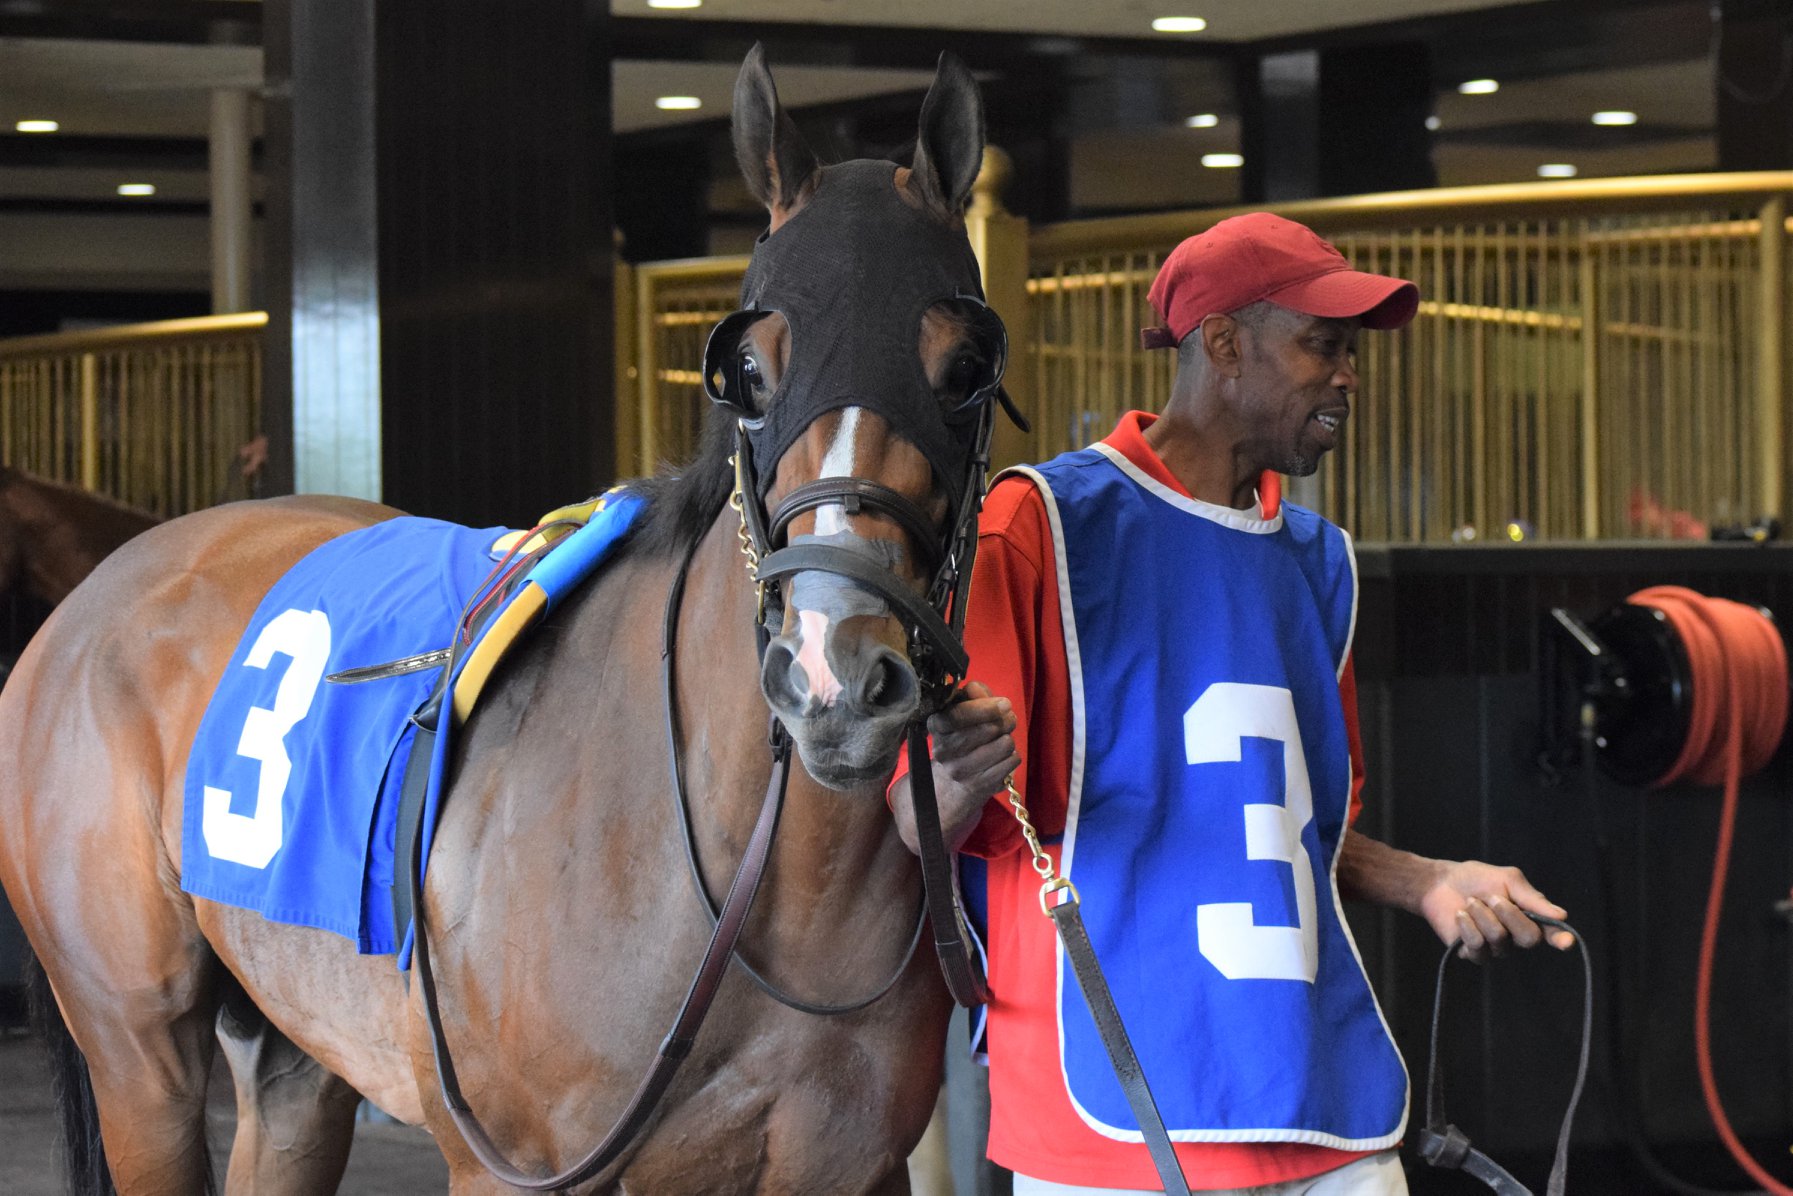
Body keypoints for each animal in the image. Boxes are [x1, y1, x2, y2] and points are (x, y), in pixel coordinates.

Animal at [0, 47, 1005, 1195]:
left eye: (964, 371)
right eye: (749, 373)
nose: (834, 671)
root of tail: (98, 589)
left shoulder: (845, 1166)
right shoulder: (508, 1162)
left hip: (294, 1051)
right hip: (139, 1054)